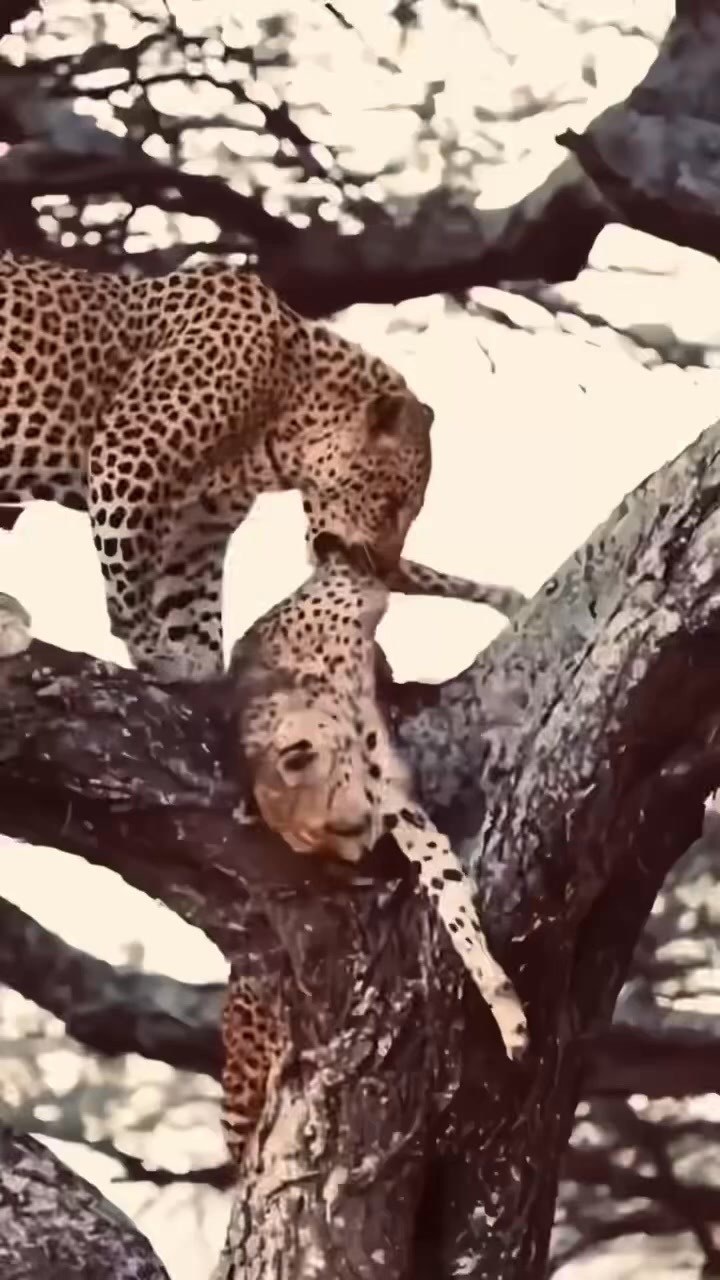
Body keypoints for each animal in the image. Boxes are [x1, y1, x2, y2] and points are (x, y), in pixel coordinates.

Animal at [0, 252, 525, 681]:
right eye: (390, 502)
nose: (384, 566)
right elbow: (129, 582)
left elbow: (191, 605)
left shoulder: (195, 532)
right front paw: (153, 651)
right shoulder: (130, 450)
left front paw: (200, 668)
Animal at [219, 534, 527, 1167]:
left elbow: (412, 573)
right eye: (330, 843)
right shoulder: (397, 805)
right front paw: (505, 1006)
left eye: (340, 823)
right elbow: (446, 892)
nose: (363, 852)